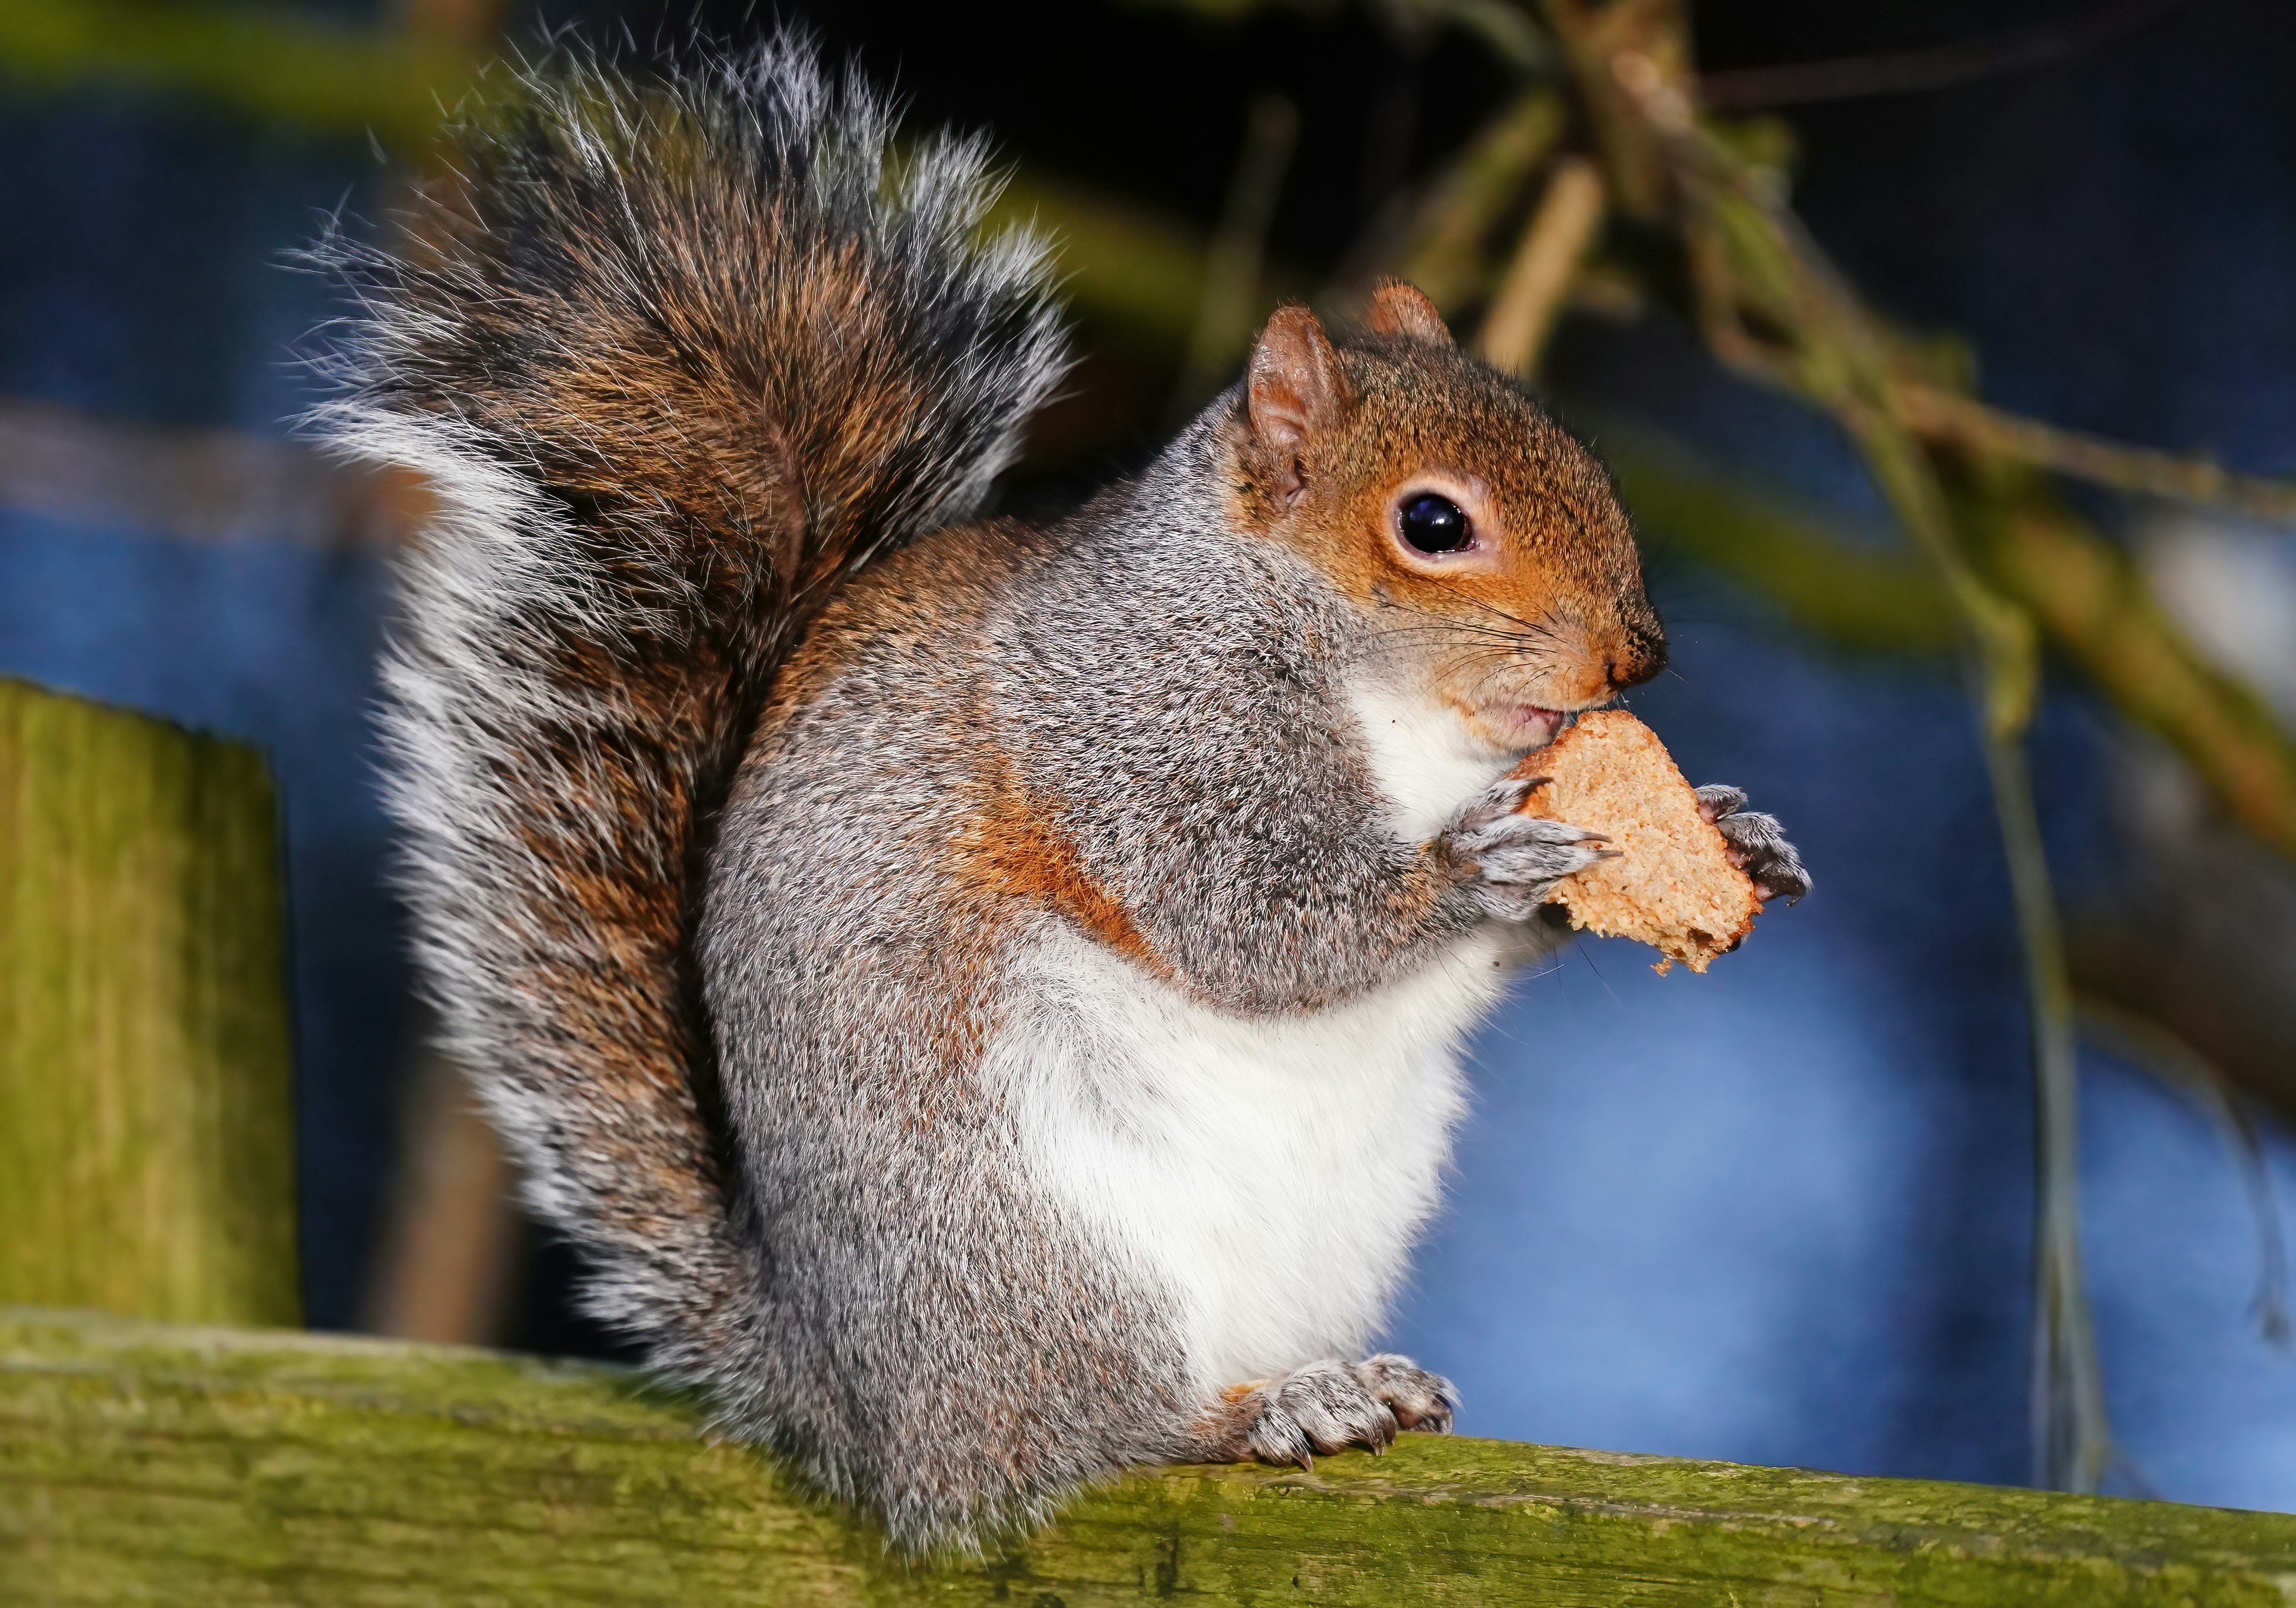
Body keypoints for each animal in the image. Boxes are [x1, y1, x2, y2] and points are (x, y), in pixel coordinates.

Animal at [319, 37, 1809, 1552]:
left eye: (1581, 458)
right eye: (1432, 524)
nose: (1639, 653)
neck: (1404, 718)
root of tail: (864, 1411)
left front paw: (1733, 834)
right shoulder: (1138, 741)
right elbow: (1259, 922)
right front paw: (1472, 868)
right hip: (1045, 1253)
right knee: (1099, 1430)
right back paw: (1262, 1412)